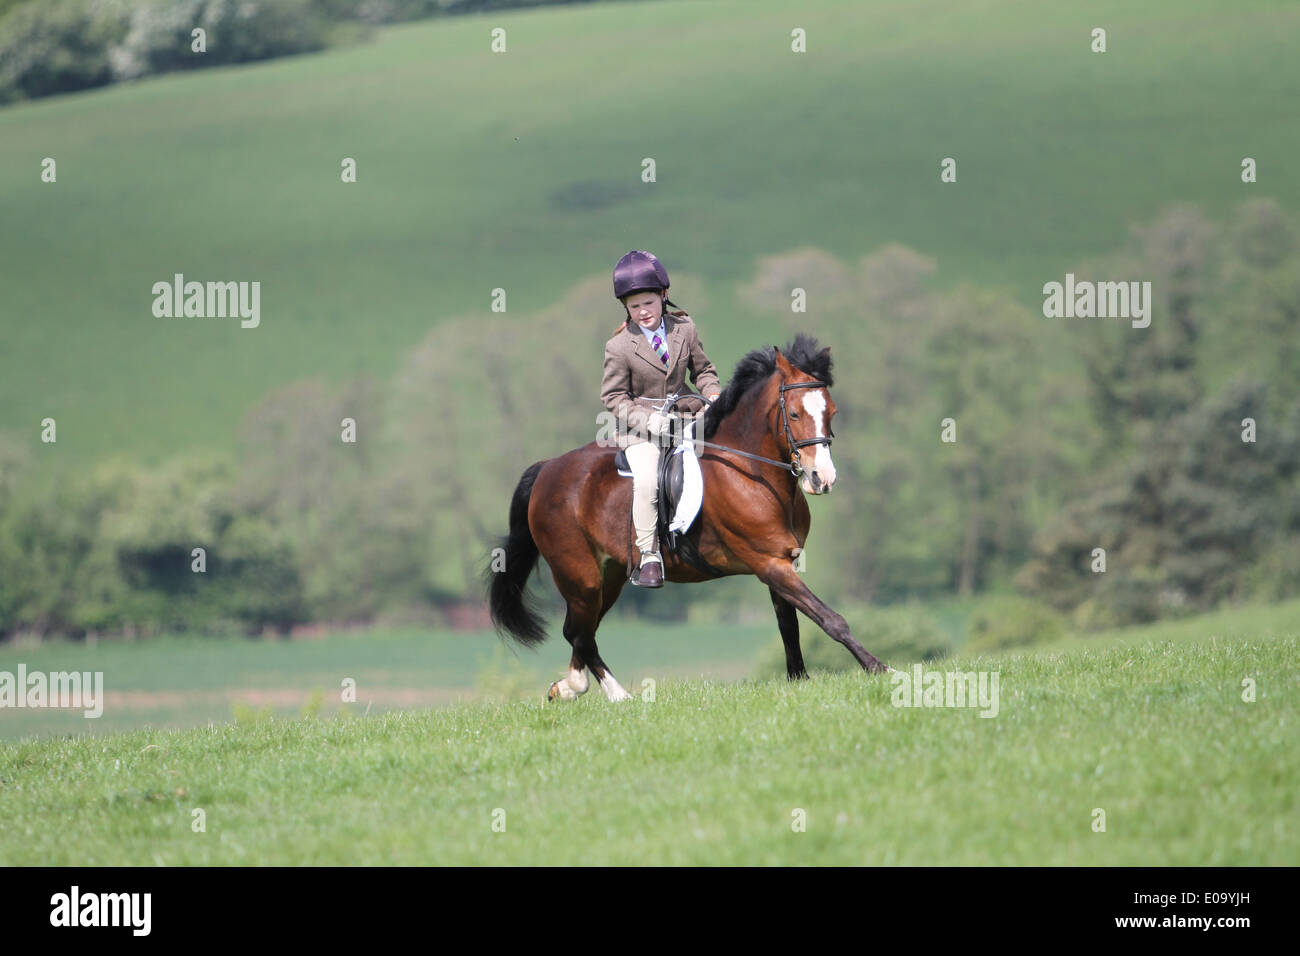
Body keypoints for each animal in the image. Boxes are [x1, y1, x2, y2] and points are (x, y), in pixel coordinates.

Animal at [486, 333, 891, 702]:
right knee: (581, 634)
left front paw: (799, 680)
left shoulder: (781, 562)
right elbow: (830, 619)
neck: (752, 472)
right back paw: (619, 696)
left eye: (831, 412)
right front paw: (880, 669)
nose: (823, 479)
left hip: (610, 576)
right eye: (793, 414)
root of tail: (548, 468)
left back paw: (569, 687)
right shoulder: (768, 563)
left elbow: (789, 623)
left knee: (580, 631)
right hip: (579, 576)